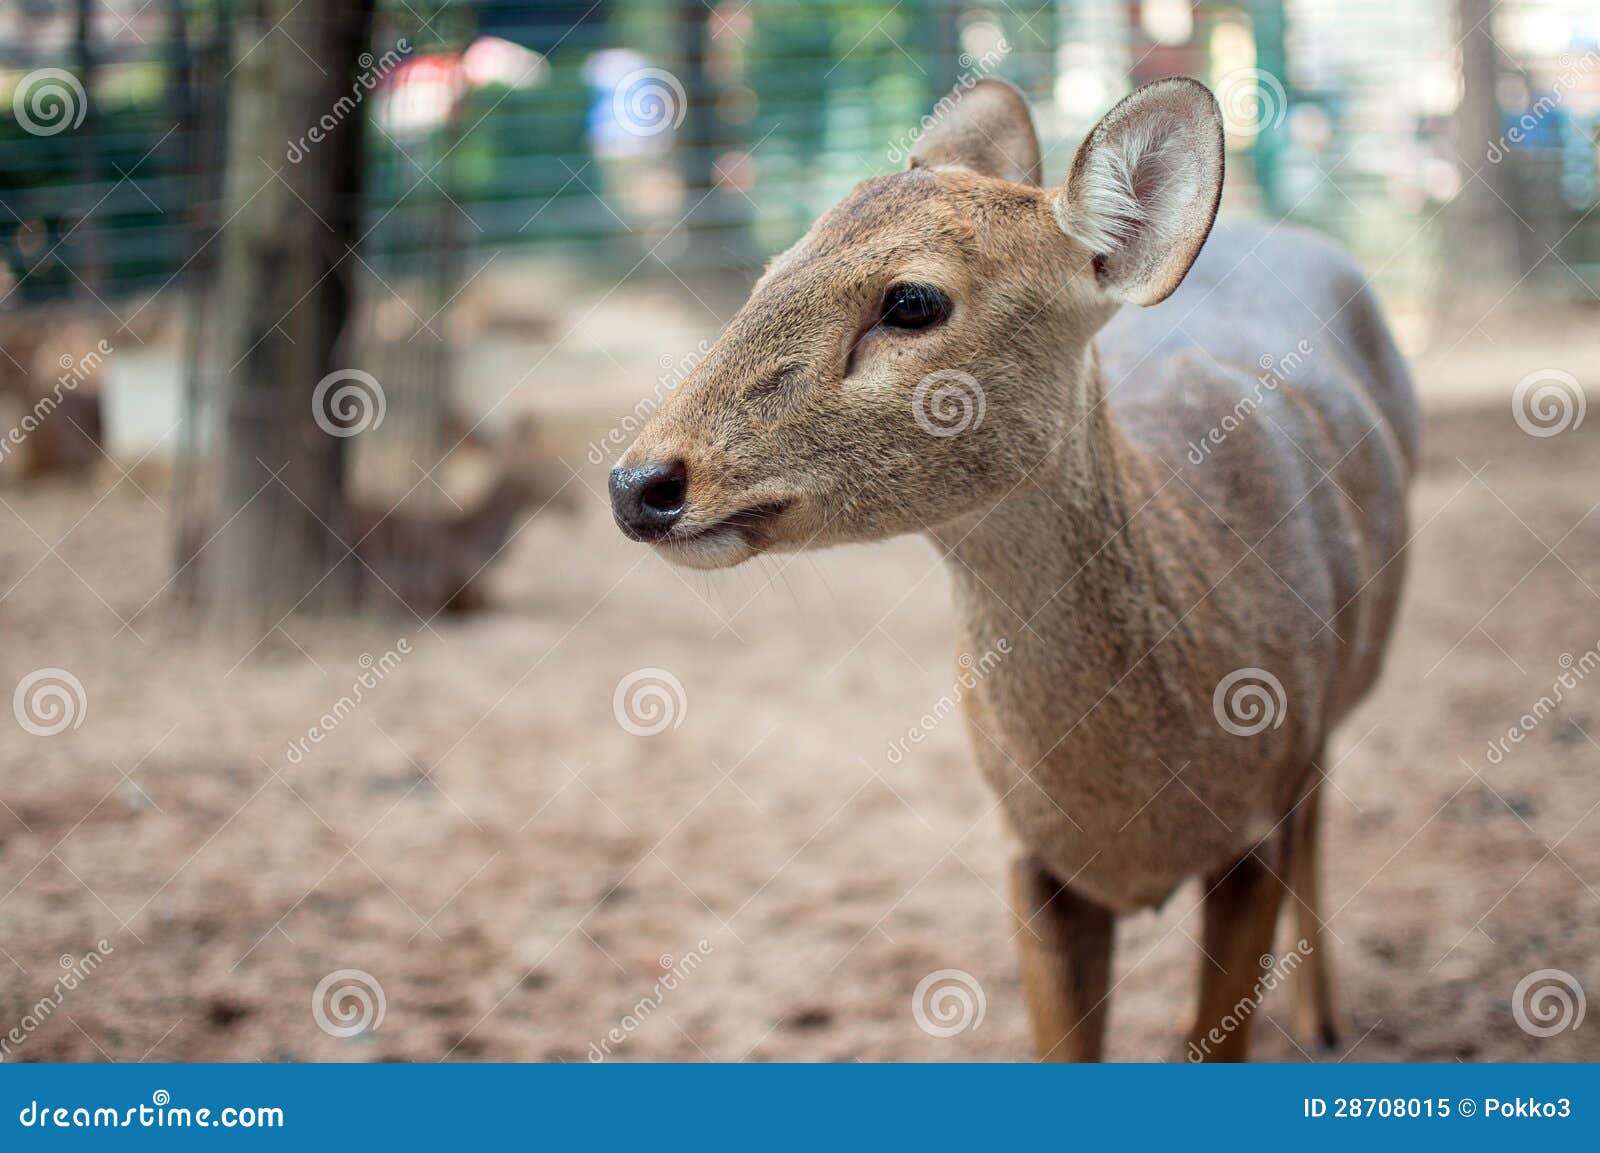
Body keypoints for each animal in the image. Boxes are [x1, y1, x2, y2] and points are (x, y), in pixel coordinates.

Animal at [608, 77, 1417, 1061]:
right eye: (769, 272)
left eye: (913, 300)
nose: (639, 483)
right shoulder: (1029, 854)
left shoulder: (1257, 824)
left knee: (1319, 824)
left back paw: (1324, 1020)